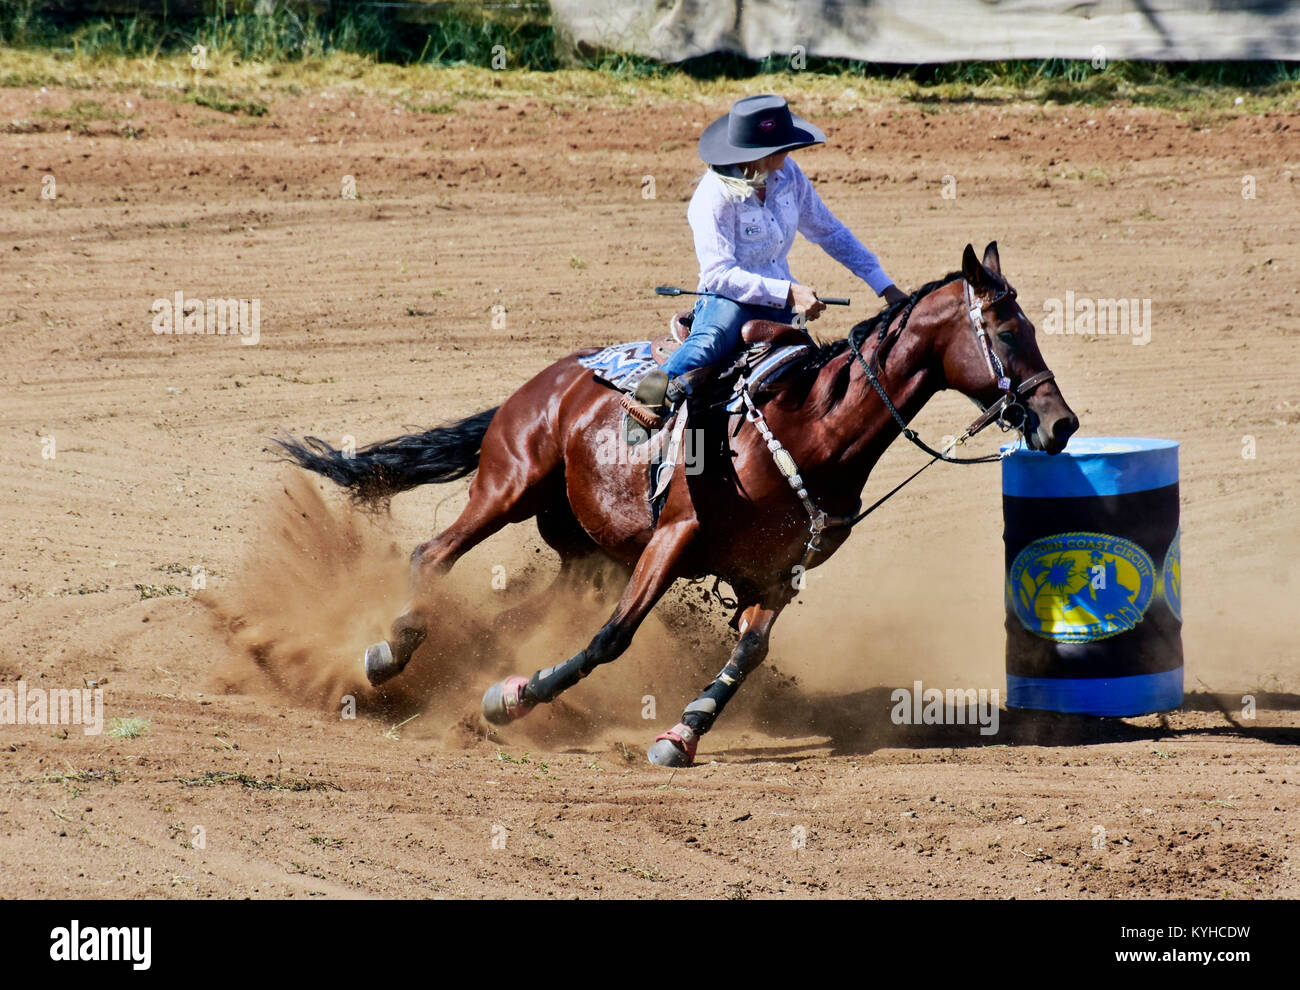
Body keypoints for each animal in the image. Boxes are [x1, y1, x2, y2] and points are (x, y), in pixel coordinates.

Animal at [277, 242, 1078, 766]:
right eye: (1007, 330)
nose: (1061, 424)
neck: (809, 428)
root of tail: (546, 380)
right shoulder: (677, 536)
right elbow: (612, 638)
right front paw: (514, 699)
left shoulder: (776, 574)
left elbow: (750, 652)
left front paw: (682, 733)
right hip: (508, 486)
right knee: (432, 554)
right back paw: (389, 651)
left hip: (589, 550)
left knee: (512, 613)